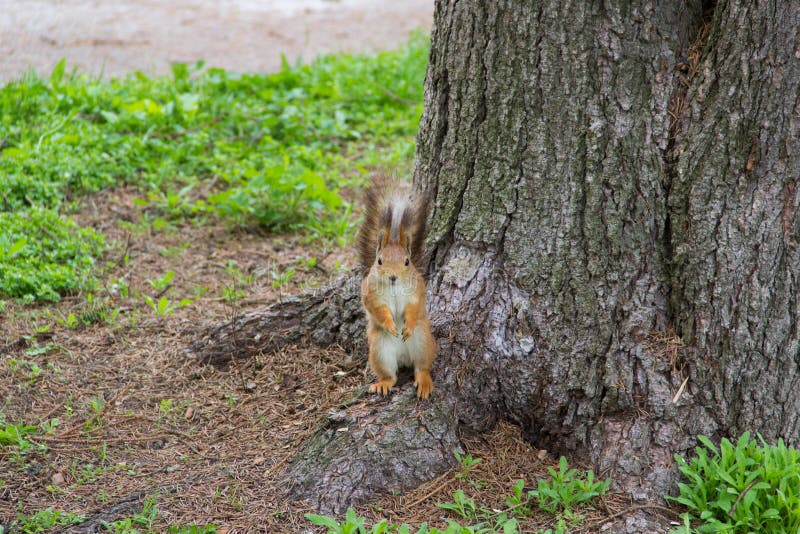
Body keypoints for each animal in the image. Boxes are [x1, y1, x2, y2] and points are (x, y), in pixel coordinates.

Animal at [357, 176, 436, 399]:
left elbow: (414, 307)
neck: (394, 287)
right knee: (390, 375)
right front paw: (391, 324)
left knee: (422, 367)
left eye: (407, 262)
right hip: (379, 351)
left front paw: (406, 325)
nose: (393, 277)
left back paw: (424, 382)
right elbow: (378, 310)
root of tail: (403, 357)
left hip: (424, 341)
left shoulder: (416, 291)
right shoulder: (371, 294)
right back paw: (383, 384)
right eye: (379, 261)